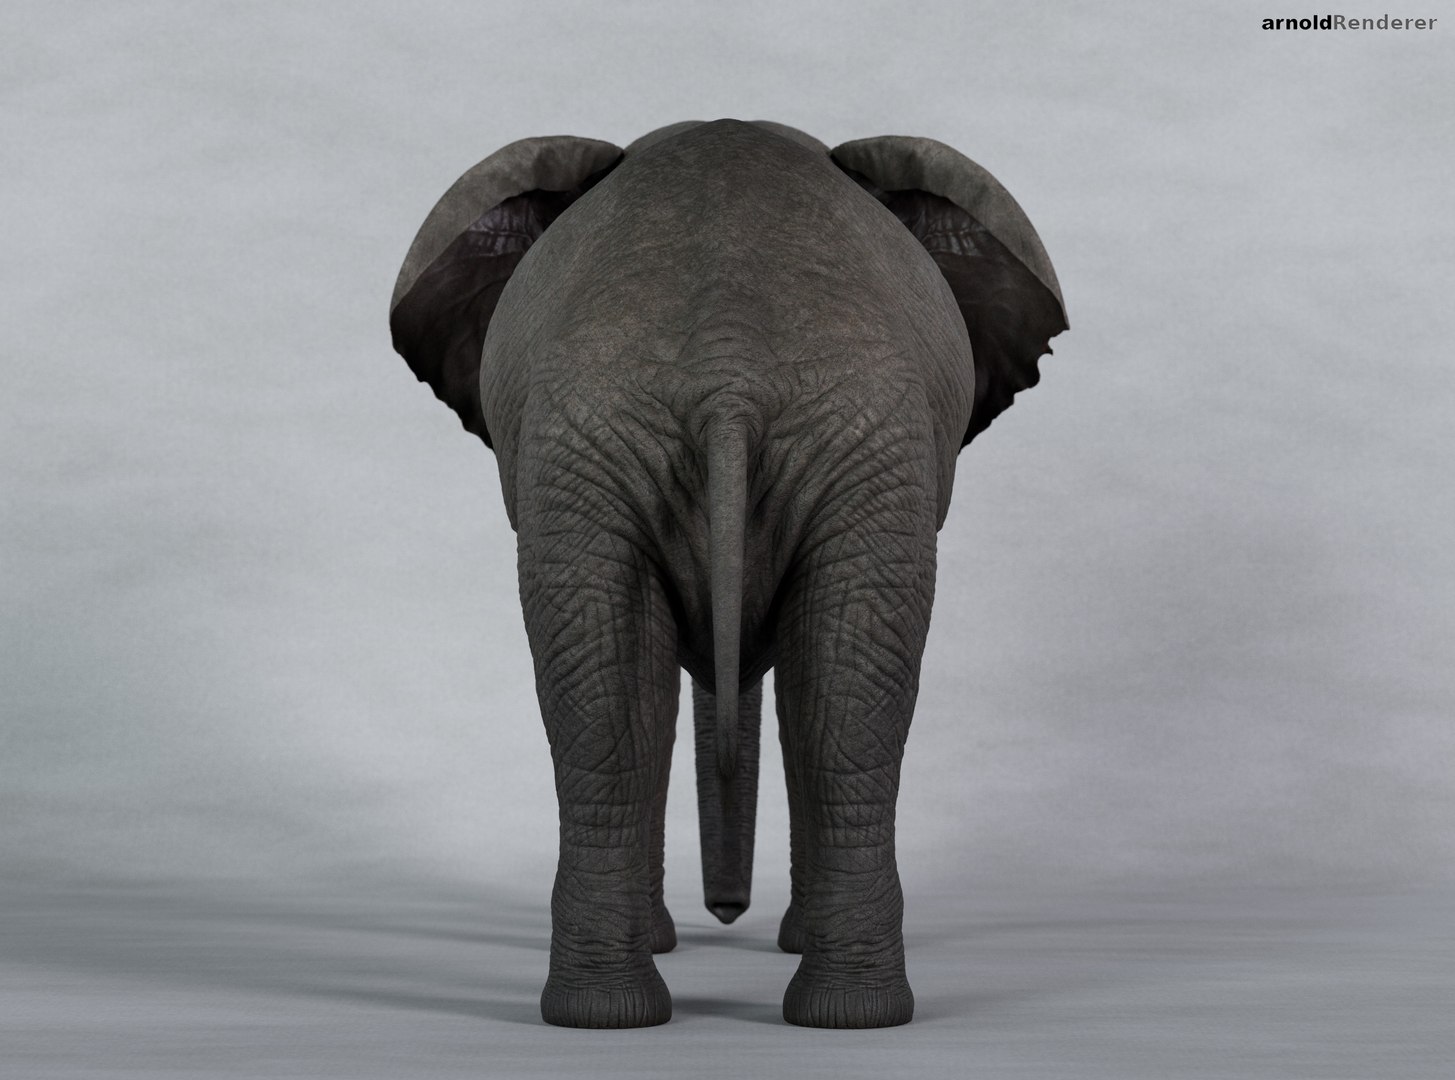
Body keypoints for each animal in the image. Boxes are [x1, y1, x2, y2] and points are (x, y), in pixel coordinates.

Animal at [388, 119, 1066, 1029]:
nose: (726, 912)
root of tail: (727, 372)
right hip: (621, 442)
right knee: (653, 703)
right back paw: (636, 1015)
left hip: (825, 441)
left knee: (796, 700)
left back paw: (813, 1016)